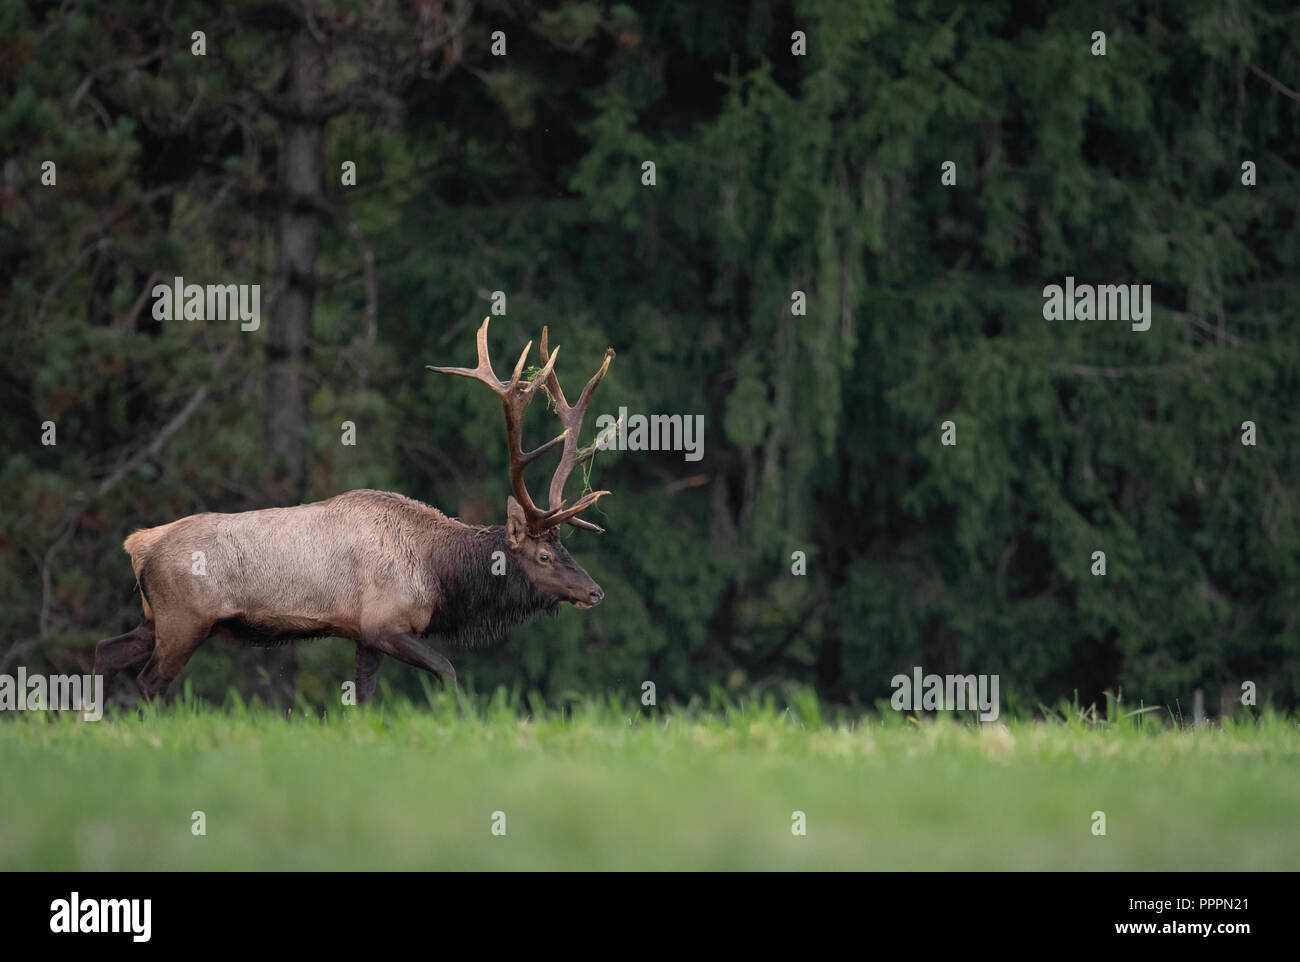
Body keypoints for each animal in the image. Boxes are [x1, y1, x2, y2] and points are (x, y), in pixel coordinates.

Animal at [92, 318, 615, 706]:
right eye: (544, 556)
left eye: (565, 548)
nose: (594, 591)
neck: (438, 573)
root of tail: (138, 545)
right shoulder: (386, 624)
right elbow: (448, 671)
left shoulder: (364, 636)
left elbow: (364, 699)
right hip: (184, 620)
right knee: (148, 683)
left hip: (156, 618)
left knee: (104, 651)